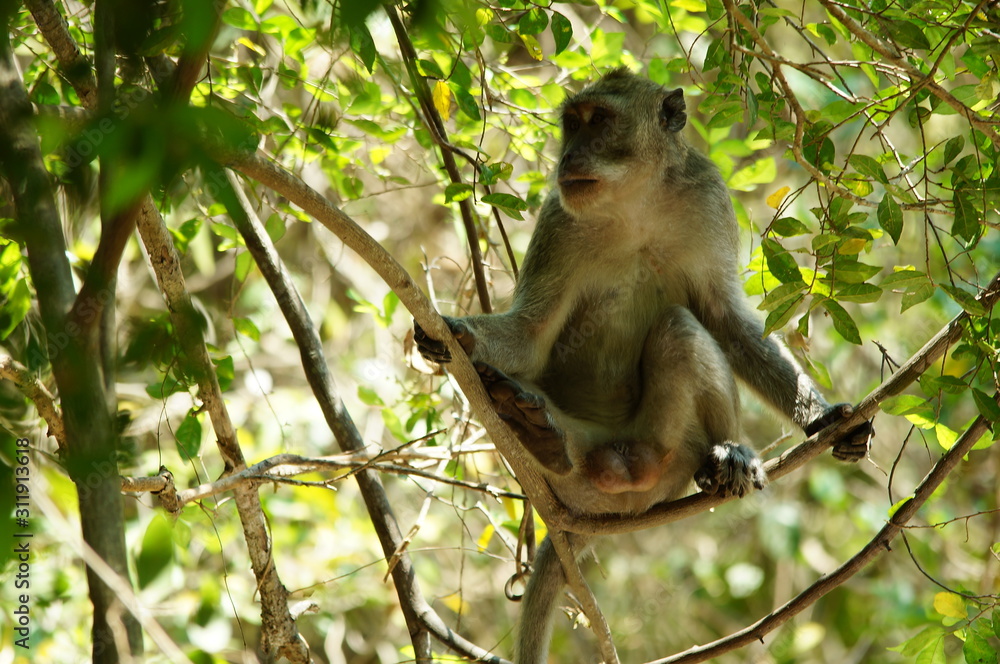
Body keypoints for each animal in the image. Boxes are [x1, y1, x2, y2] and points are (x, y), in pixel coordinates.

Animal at [414, 67, 872, 662]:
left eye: (599, 120)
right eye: (572, 123)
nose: (569, 156)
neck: (634, 203)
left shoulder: (707, 197)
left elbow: (727, 321)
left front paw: (825, 418)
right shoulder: (558, 219)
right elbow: (533, 336)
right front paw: (458, 334)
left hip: (670, 459)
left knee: (680, 329)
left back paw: (726, 456)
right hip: (576, 475)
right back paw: (534, 428)